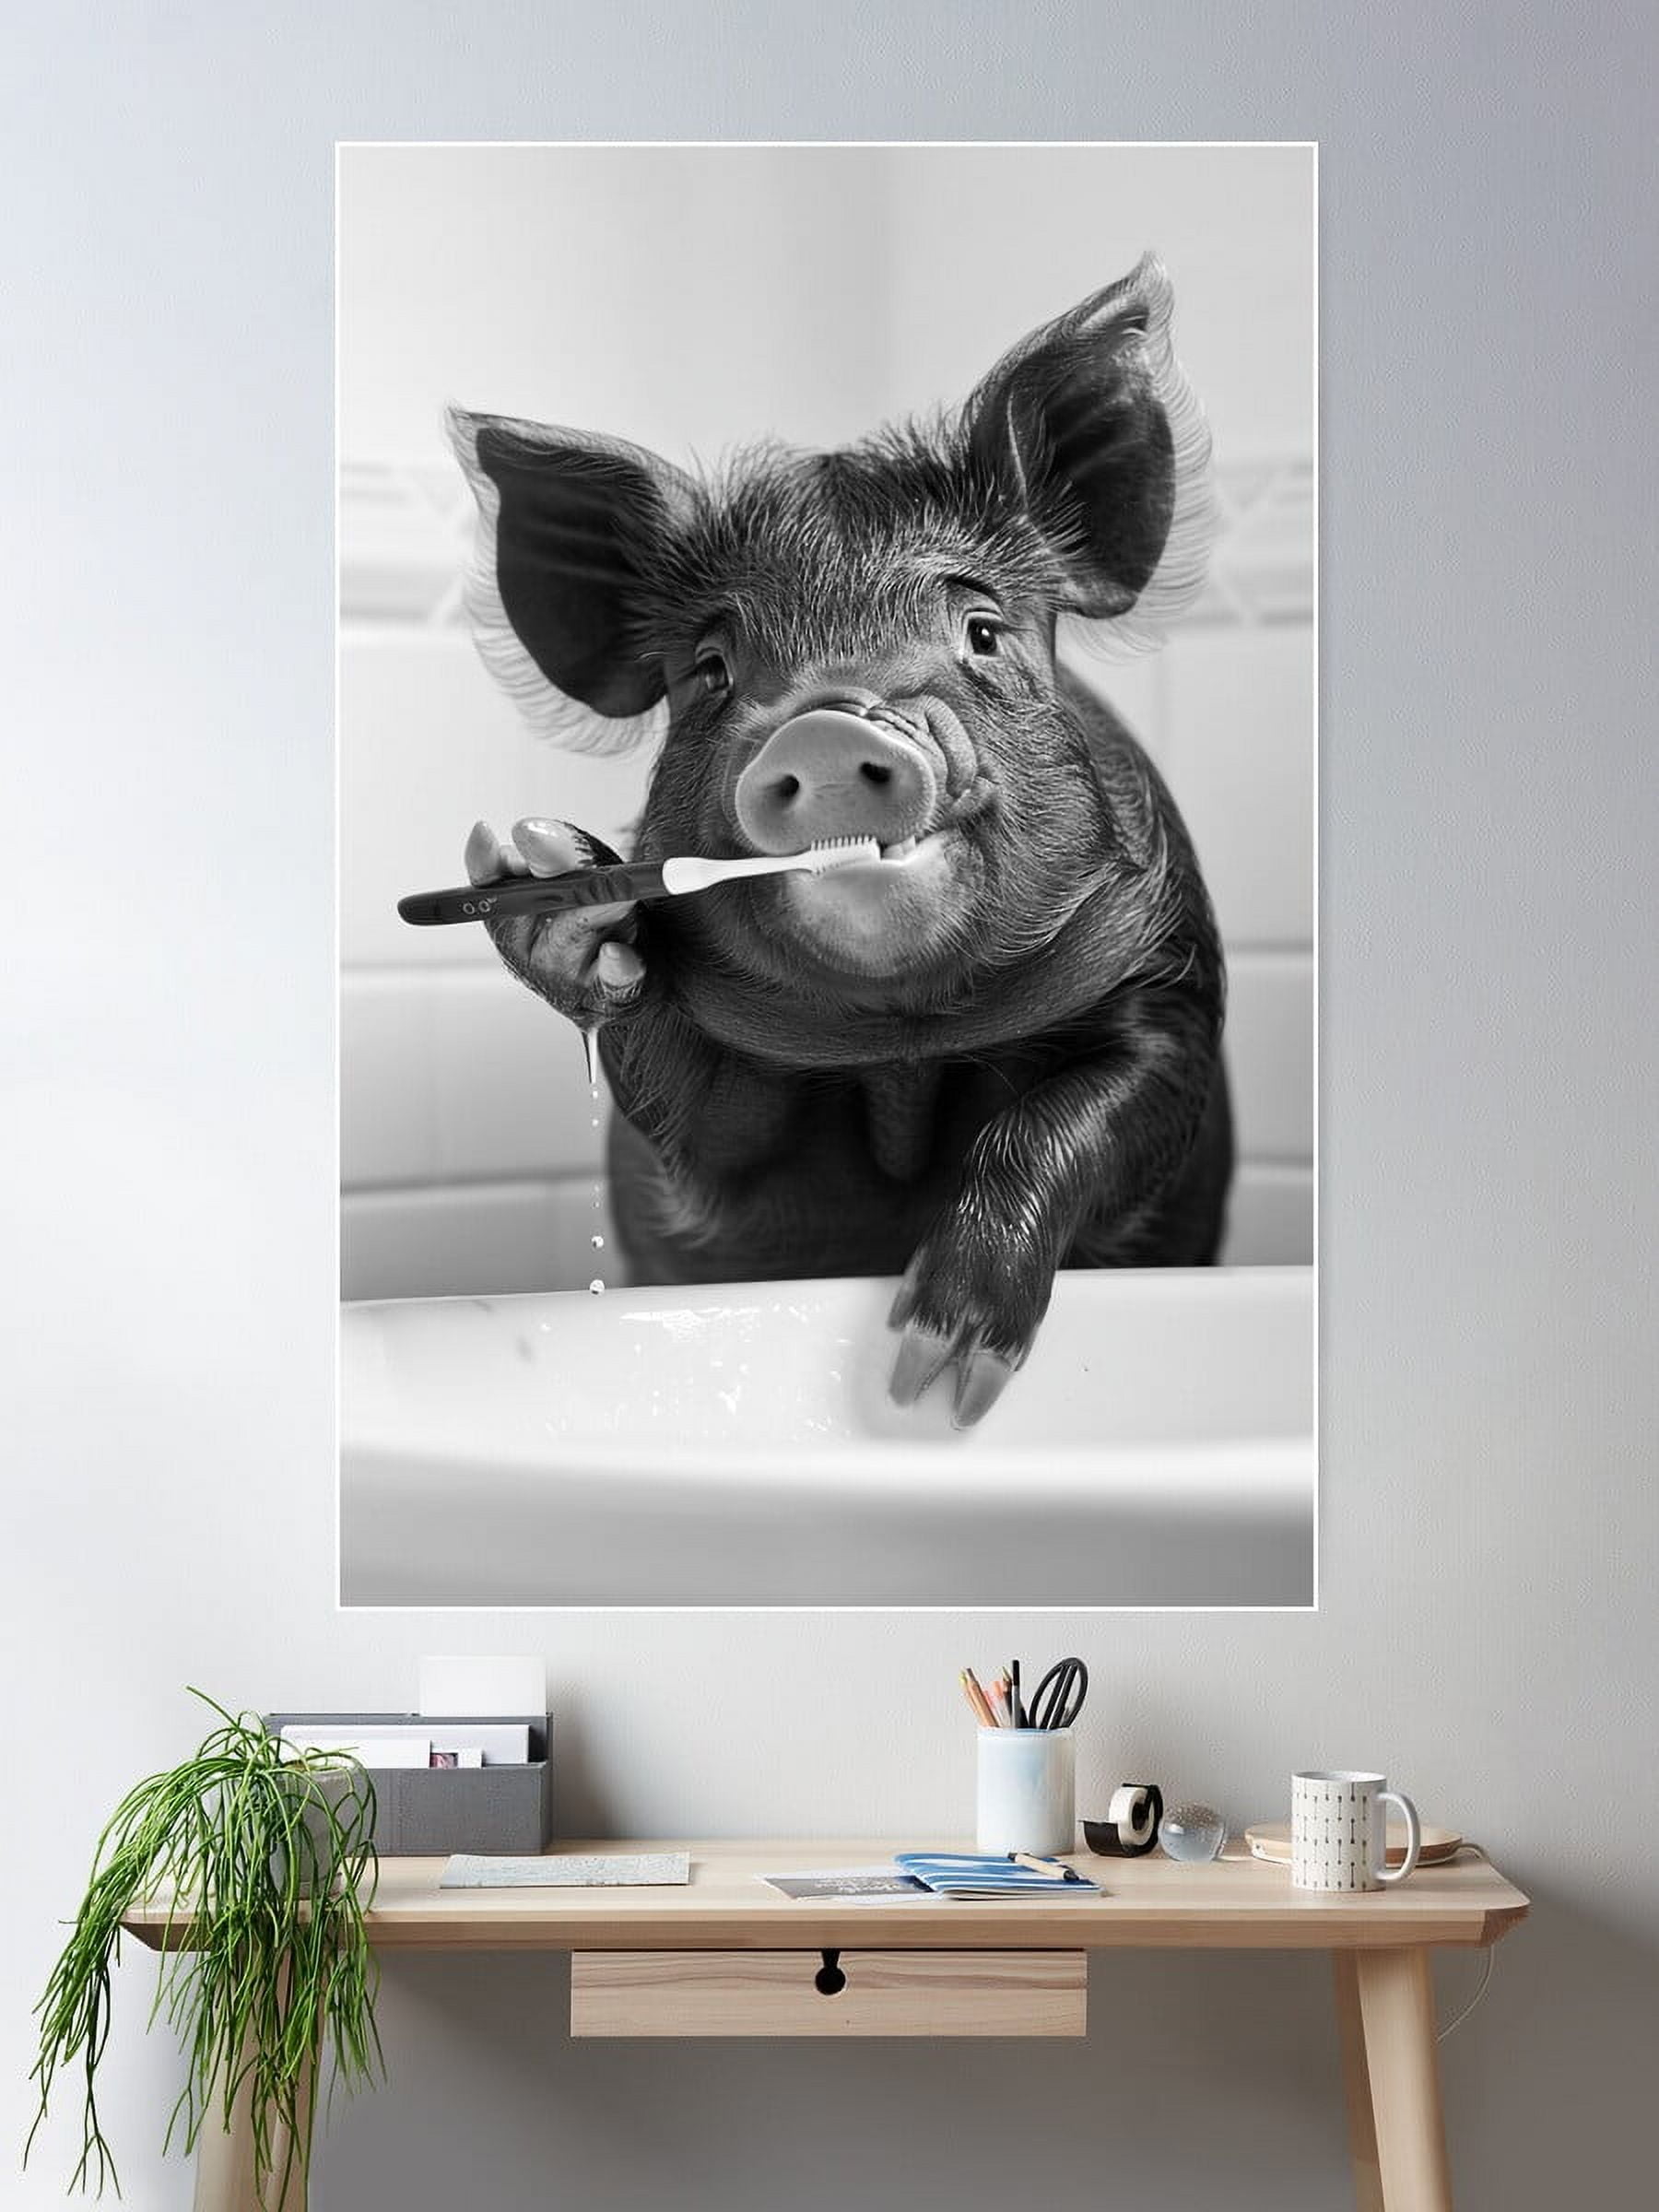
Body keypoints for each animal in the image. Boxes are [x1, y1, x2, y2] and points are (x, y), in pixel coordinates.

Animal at [447, 253, 1232, 1426]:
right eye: (711, 672)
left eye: (983, 631)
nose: (827, 723)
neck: (900, 1041)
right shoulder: (712, 1145)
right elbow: (687, 1114)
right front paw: (553, 879)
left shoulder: (1171, 985)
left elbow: (1082, 1112)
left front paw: (934, 1378)